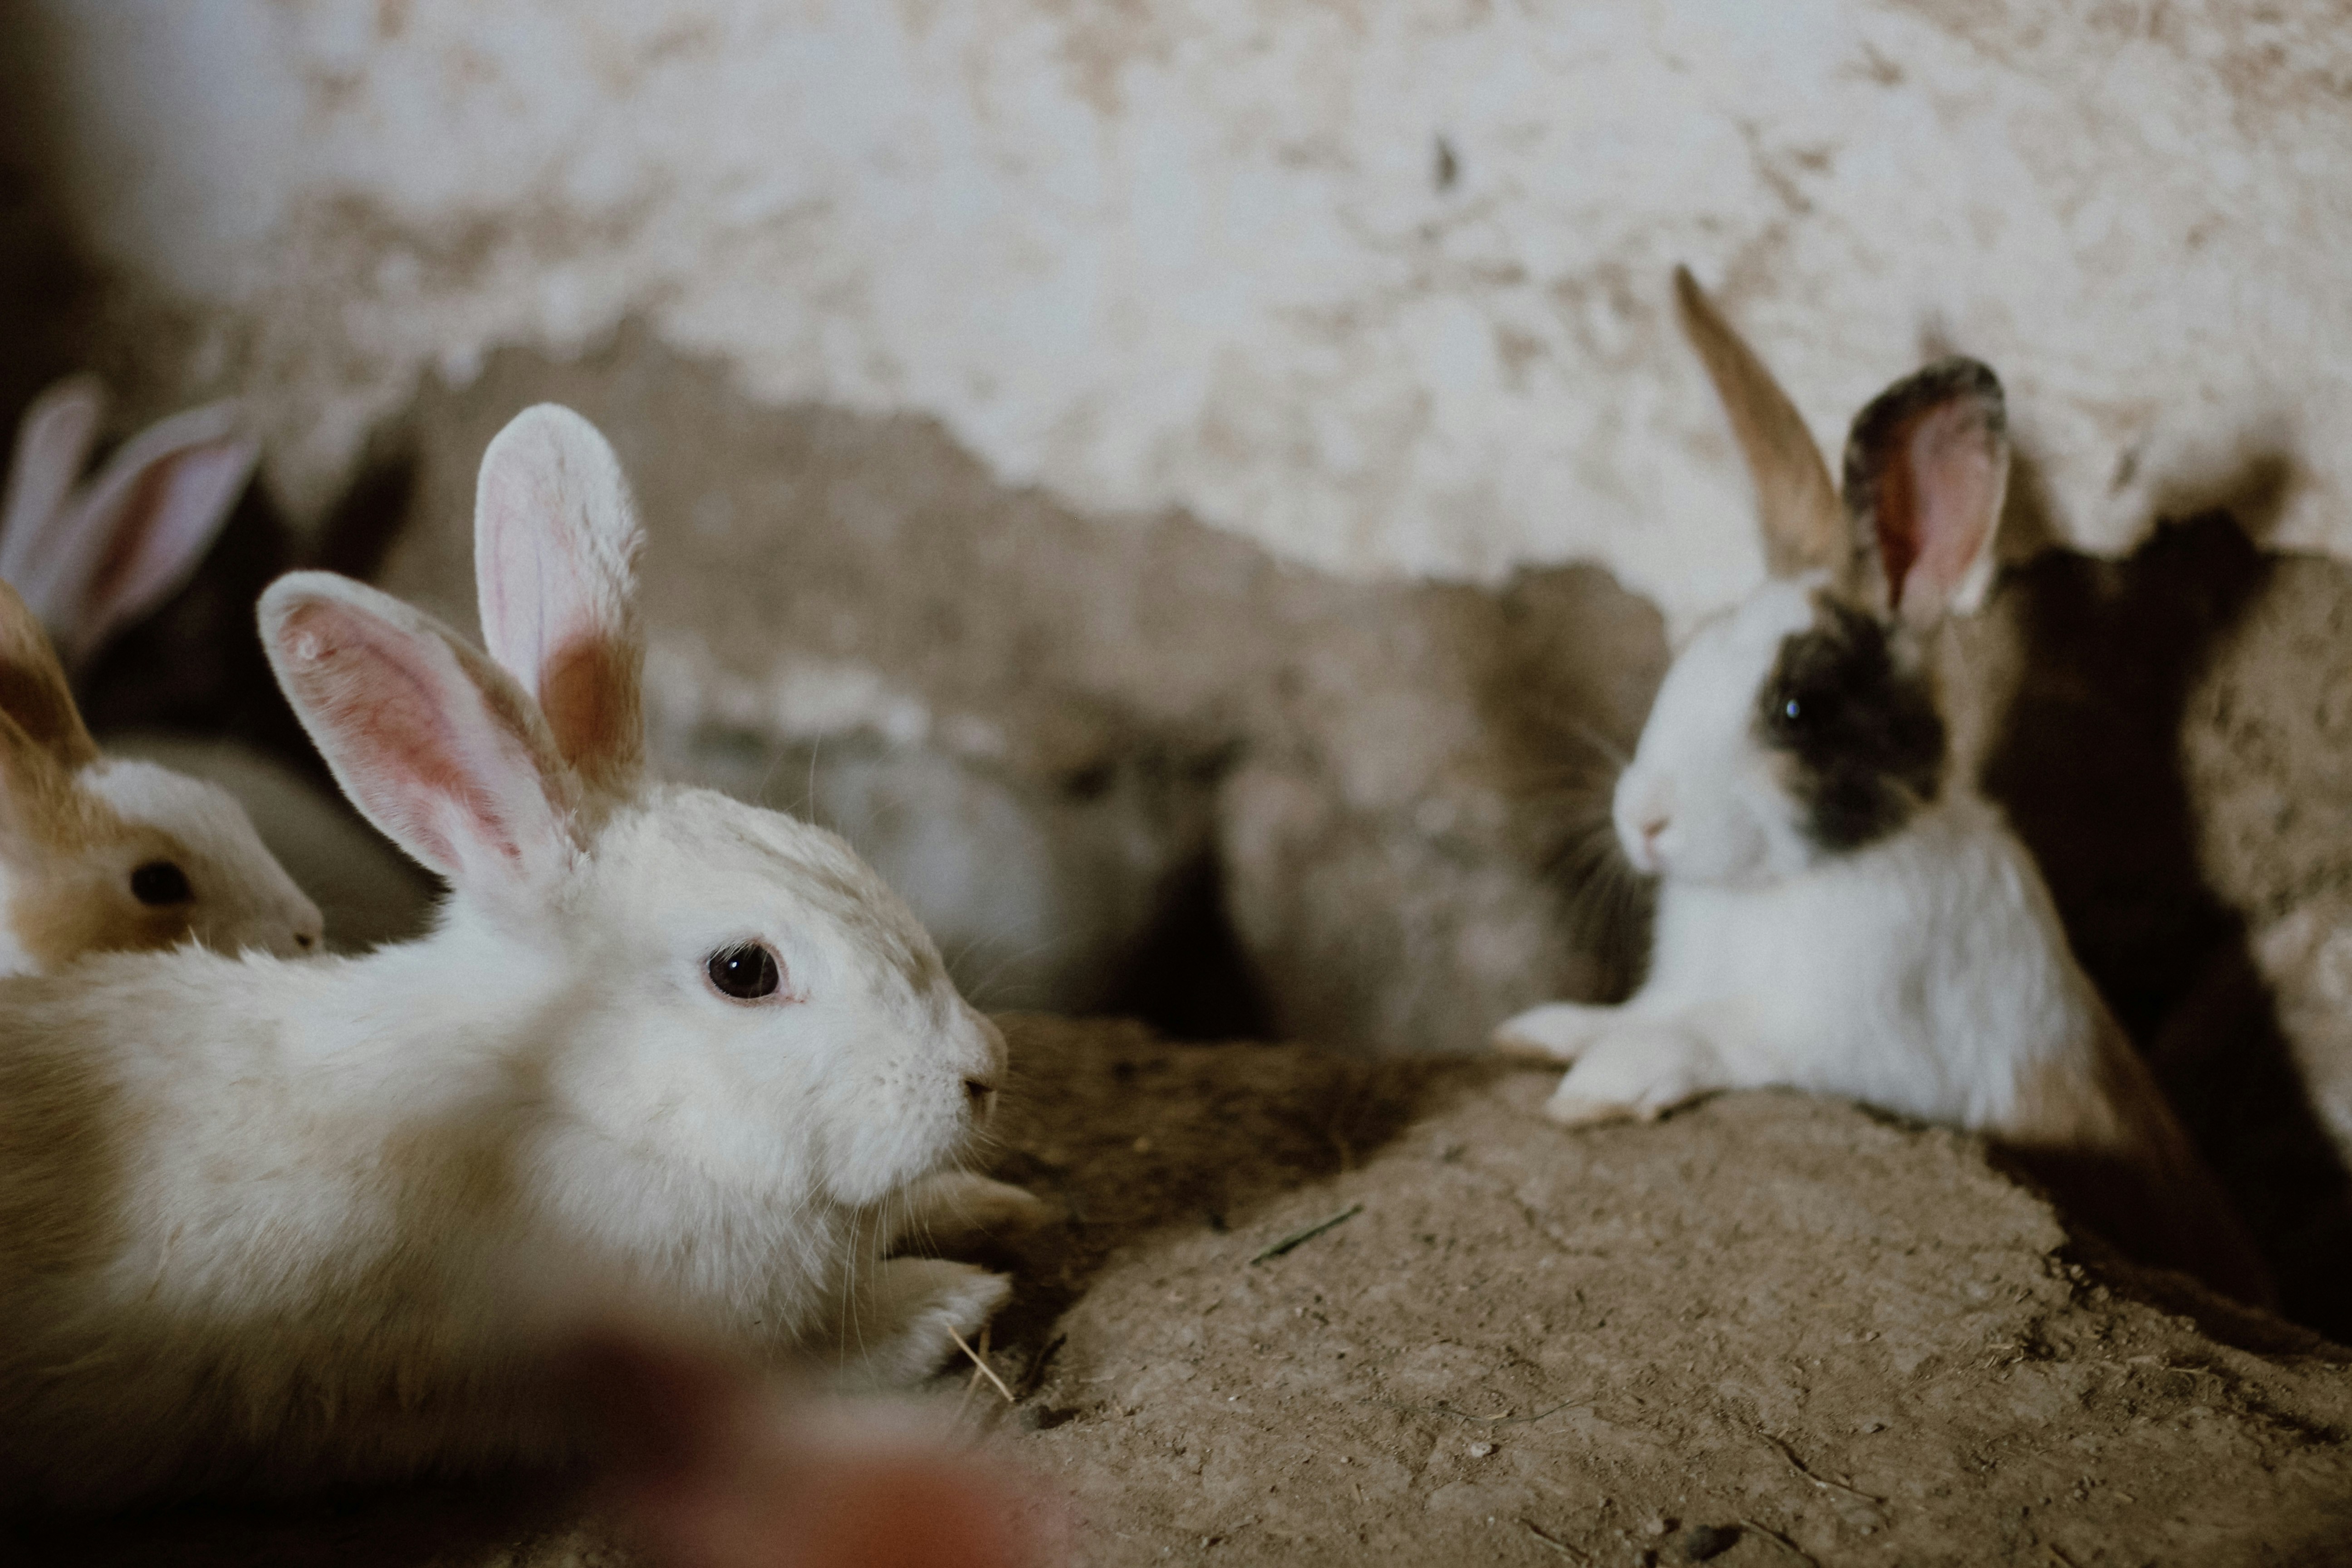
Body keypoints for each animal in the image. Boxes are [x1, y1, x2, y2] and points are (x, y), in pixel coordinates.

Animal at [1493, 267, 2272, 1307]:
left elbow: (1714, 1037)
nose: (1643, 820)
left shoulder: (1845, 1046)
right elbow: (1641, 1012)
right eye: (1684, 654)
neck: (1799, 879)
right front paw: (1541, 1032)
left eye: (1797, 710)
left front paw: (1603, 1085)